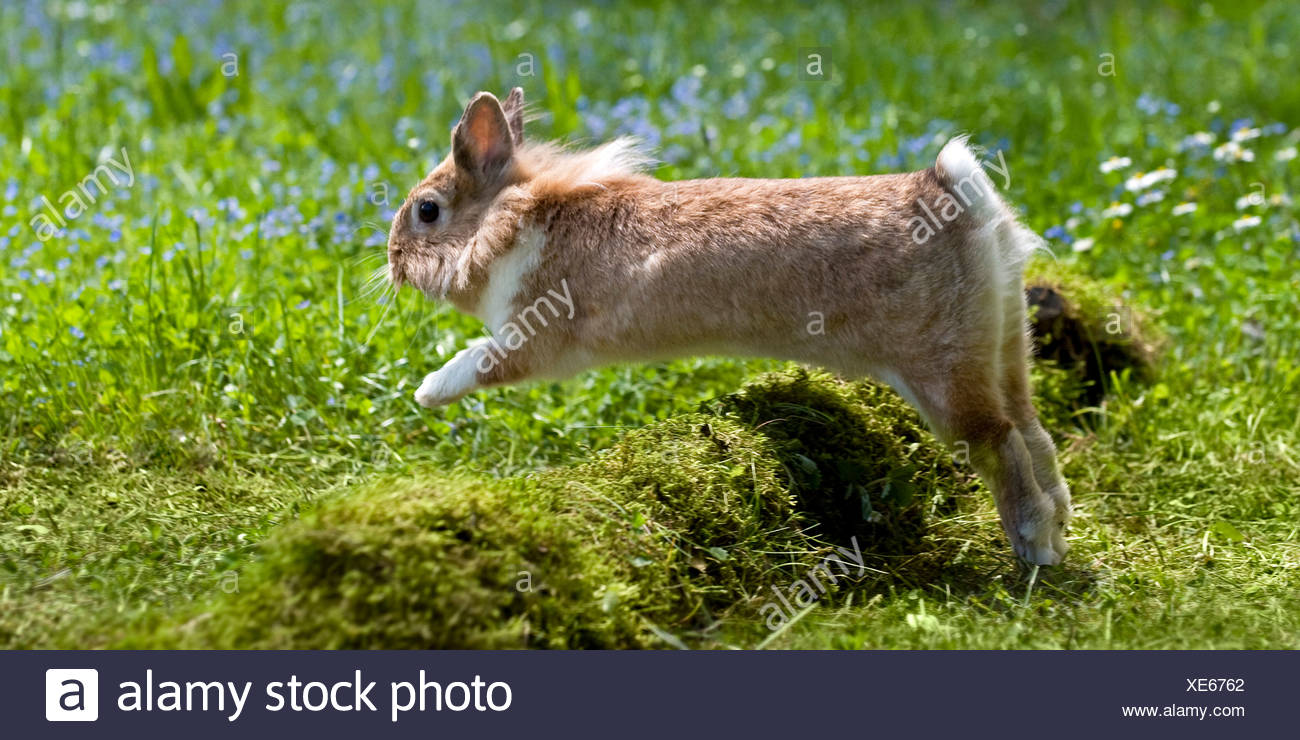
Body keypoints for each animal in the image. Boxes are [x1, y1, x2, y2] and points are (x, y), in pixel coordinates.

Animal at [386, 88, 1071, 566]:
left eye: (428, 211)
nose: (390, 260)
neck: (510, 220)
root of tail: (959, 196)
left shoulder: (531, 336)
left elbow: (481, 360)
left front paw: (426, 390)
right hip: (1004, 337)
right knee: (1031, 428)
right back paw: (1062, 524)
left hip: (940, 370)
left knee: (998, 441)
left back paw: (1035, 548)